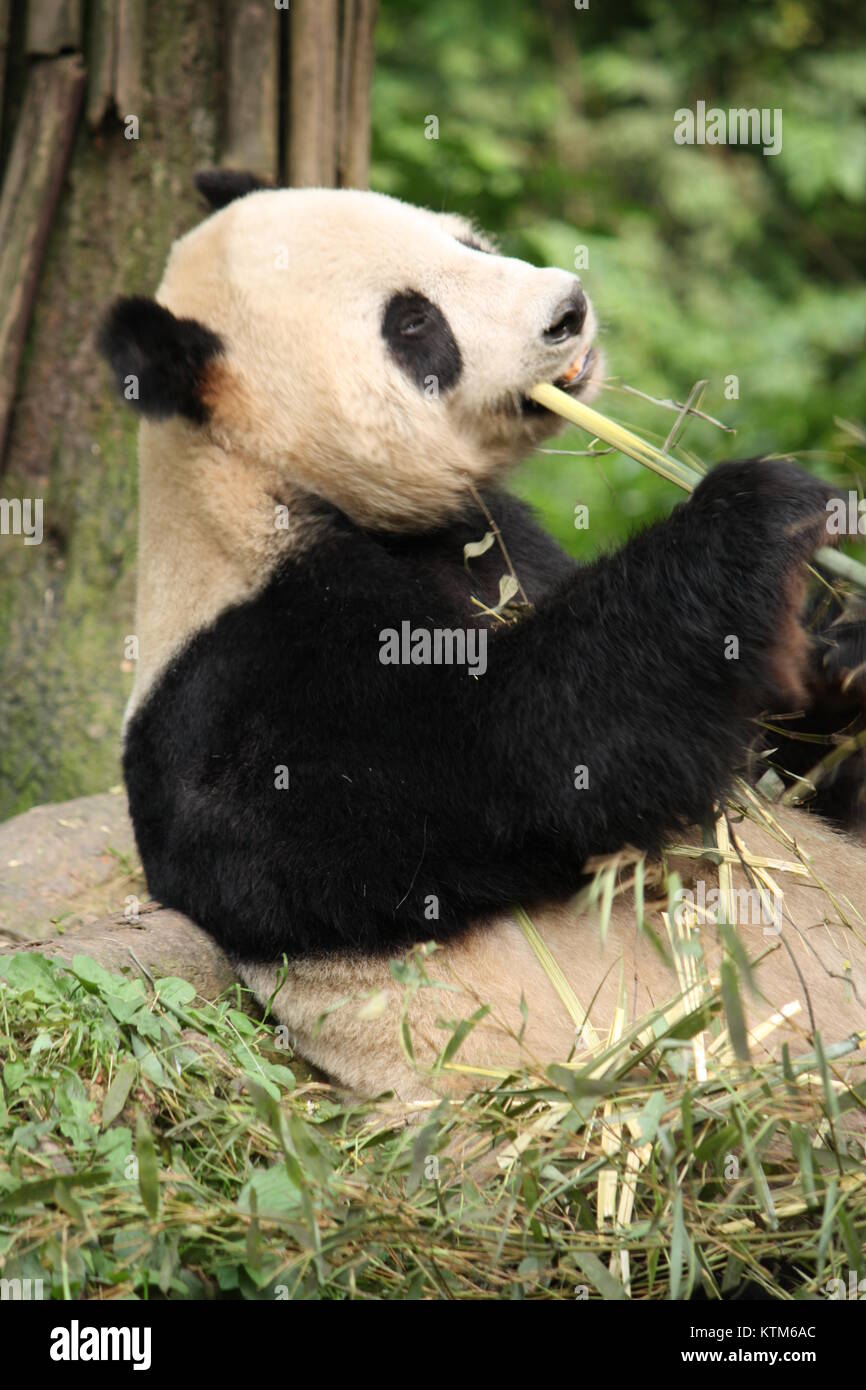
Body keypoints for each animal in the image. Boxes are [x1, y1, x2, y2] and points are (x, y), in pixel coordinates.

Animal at [99, 170, 866, 1099]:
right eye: (413, 324)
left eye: (465, 241)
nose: (568, 310)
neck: (253, 478)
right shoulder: (248, 679)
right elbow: (531, 751)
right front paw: (759, 513)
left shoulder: (499, 542)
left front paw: (842, 661)